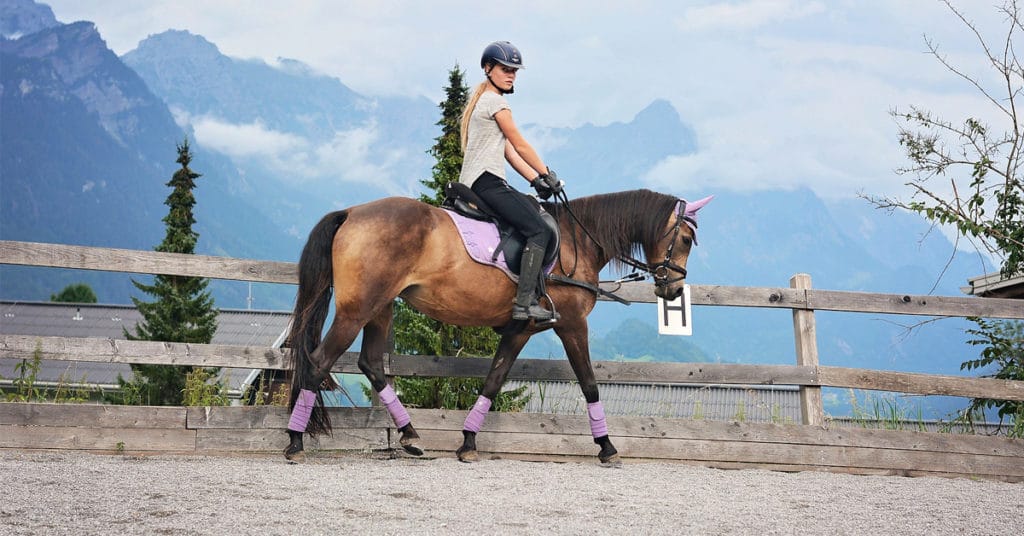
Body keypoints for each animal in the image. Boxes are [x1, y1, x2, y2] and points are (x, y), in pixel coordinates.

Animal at [283, 188, 712, 464]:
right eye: (685, 238)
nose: (673, 289)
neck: (577, 242)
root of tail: (352, 212)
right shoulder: (573, 325)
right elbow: (589, 383)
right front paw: (606, 447)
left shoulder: (518, 330)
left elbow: (493, 379)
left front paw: (468, 443)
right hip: (357, 310)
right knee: (319, 362)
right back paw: (295, 441)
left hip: (380, 307)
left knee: (371, 364)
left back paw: (411, 437)